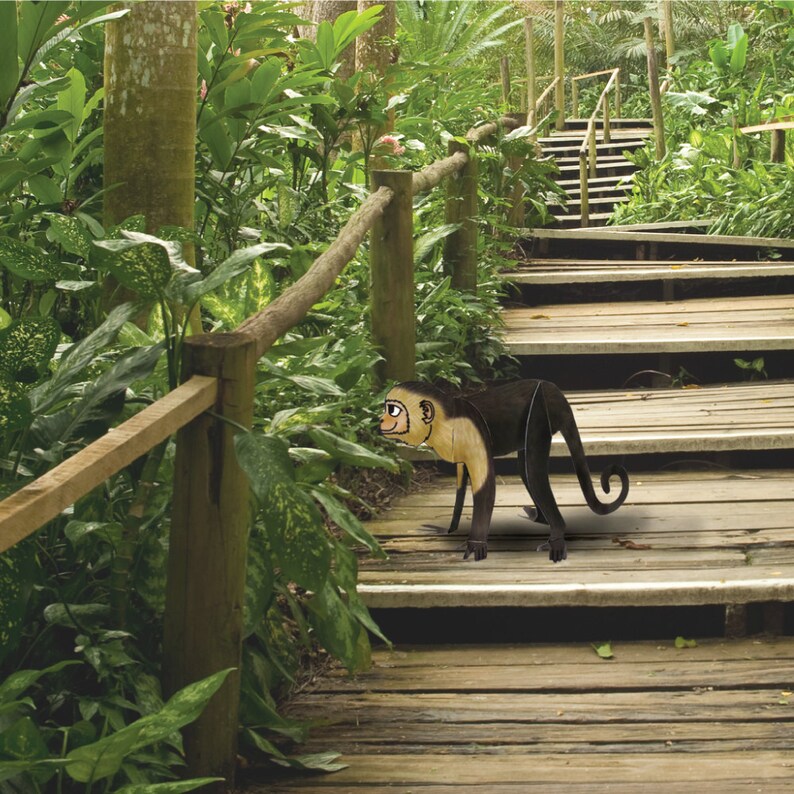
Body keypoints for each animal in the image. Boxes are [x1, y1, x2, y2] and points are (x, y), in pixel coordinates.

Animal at [379, 380, 629, 563]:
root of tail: (554, 391)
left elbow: (486, 488)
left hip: (539, 409)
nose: (380, 420)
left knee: (533, 470)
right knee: (526, 470)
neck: (443, 422)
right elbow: (461, 485)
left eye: (393, 410)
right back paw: (540, 517)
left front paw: (475, 544)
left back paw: (557, 532)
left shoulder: (470, 430)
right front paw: (449, 530)